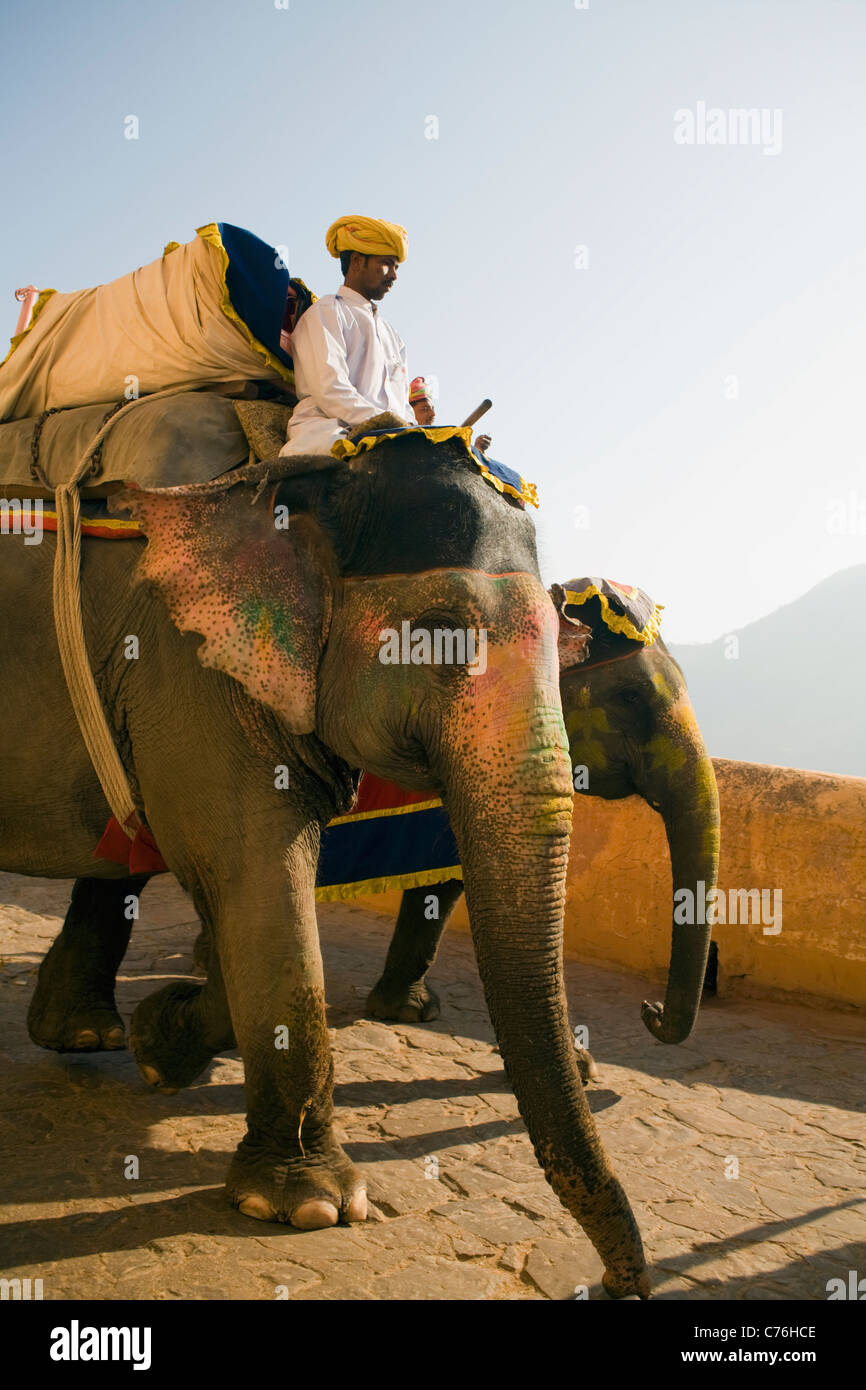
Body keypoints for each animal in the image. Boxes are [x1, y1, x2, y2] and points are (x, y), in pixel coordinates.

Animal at [1, 426, 650, 1297]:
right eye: (437, 630)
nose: (616, 1283)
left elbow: (249, 902)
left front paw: (162, 1041)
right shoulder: (190, 671)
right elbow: (259, 879)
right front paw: (311, 1206)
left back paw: (83, 1033)